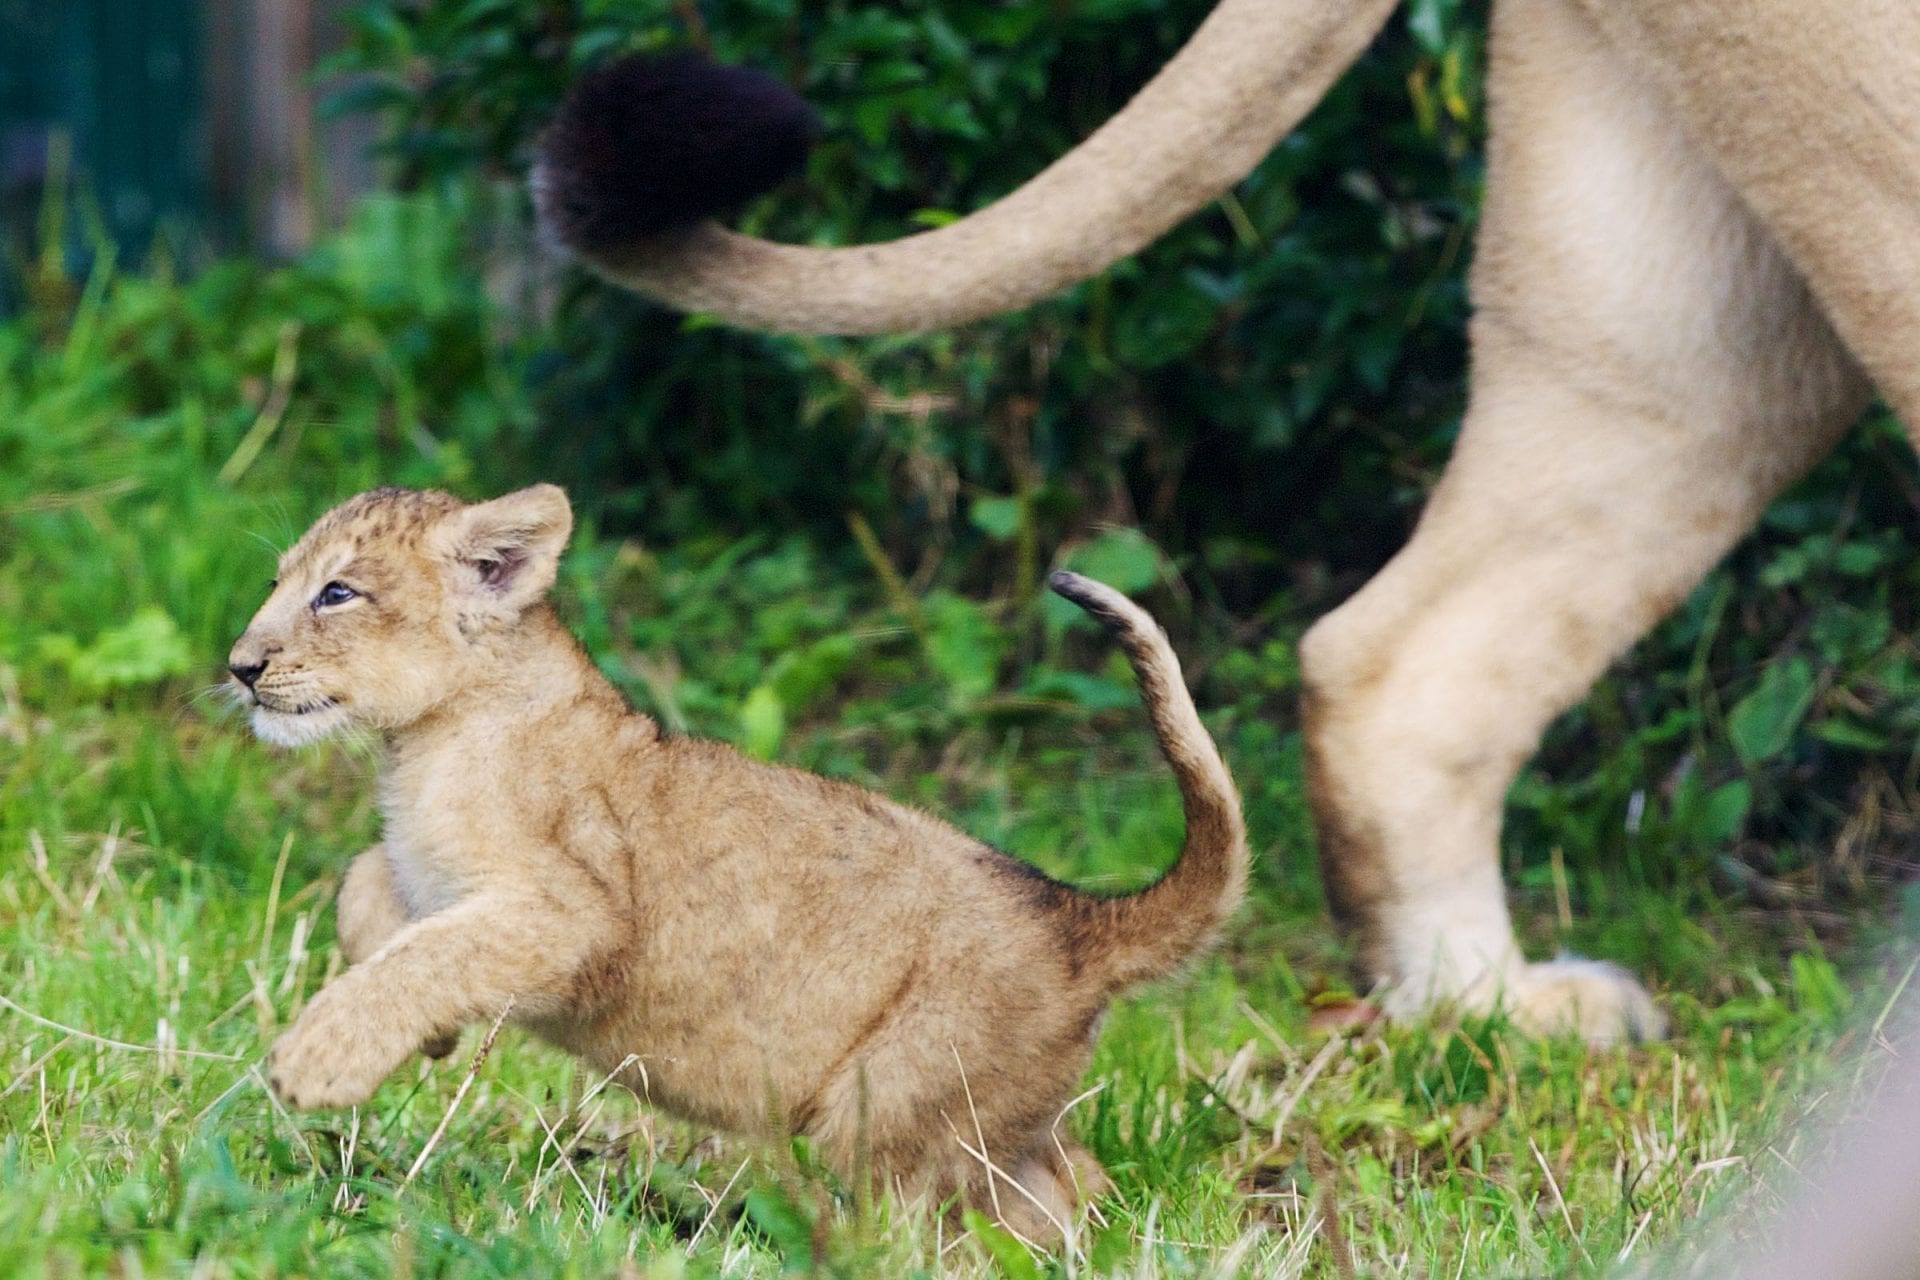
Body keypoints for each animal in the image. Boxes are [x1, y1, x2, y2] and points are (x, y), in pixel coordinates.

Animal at [227, 483, 1246, 1242]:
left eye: (337, 593)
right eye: (276, 580)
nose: (239, 665)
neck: (421, 742)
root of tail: (1075, 918)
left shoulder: (576, 911)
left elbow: (431, 951)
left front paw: (318, 1061)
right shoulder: (436, 879)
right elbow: (369, 888)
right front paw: (423, 1034)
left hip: (890, 1105)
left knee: (921, 1229)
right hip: (988, 1123)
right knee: (1063, 1186)